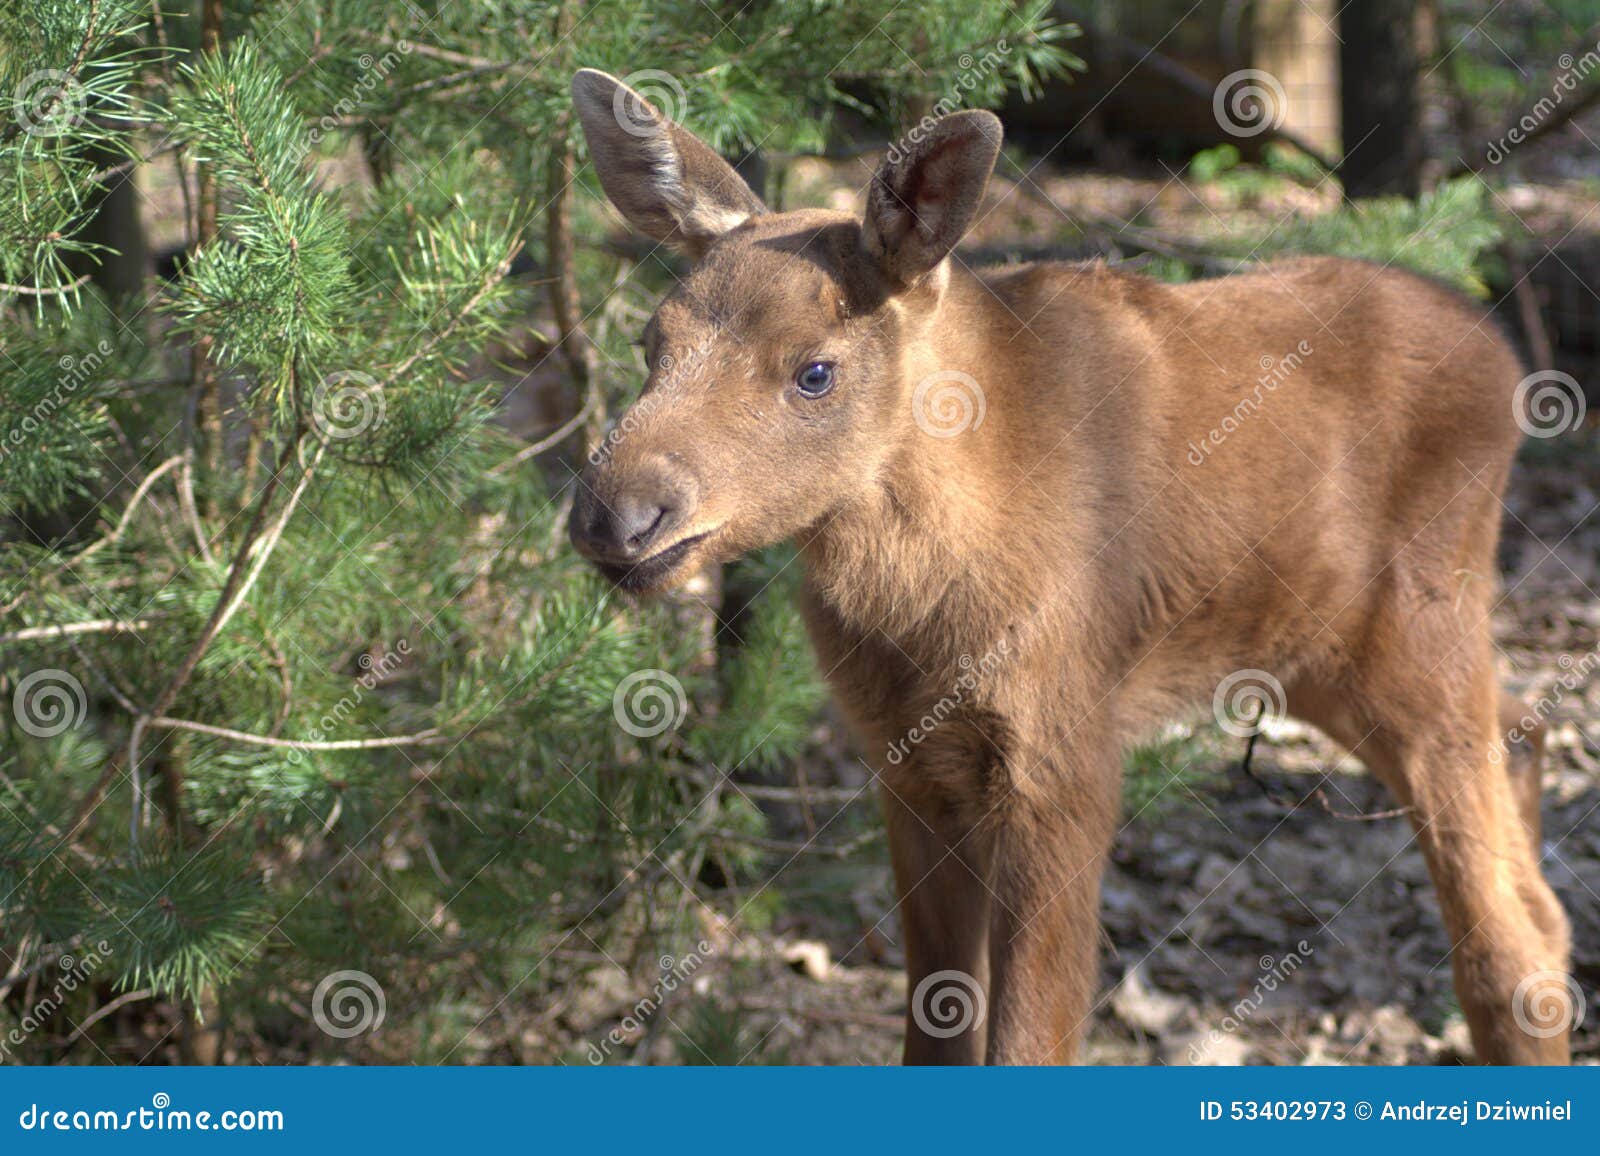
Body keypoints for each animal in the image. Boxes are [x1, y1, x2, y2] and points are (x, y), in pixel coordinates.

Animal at [565, 68, 1574, 1065]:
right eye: (651, 342)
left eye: (814, 371)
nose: (614, 514)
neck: (923, 593)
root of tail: (1508, 361)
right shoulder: (908, 765)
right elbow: (937, 1030)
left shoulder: (1063, 761)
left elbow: (1026, 1043)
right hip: (1327, 656)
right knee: (1525, 770)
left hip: (1414, 637)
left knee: (1511, 942)